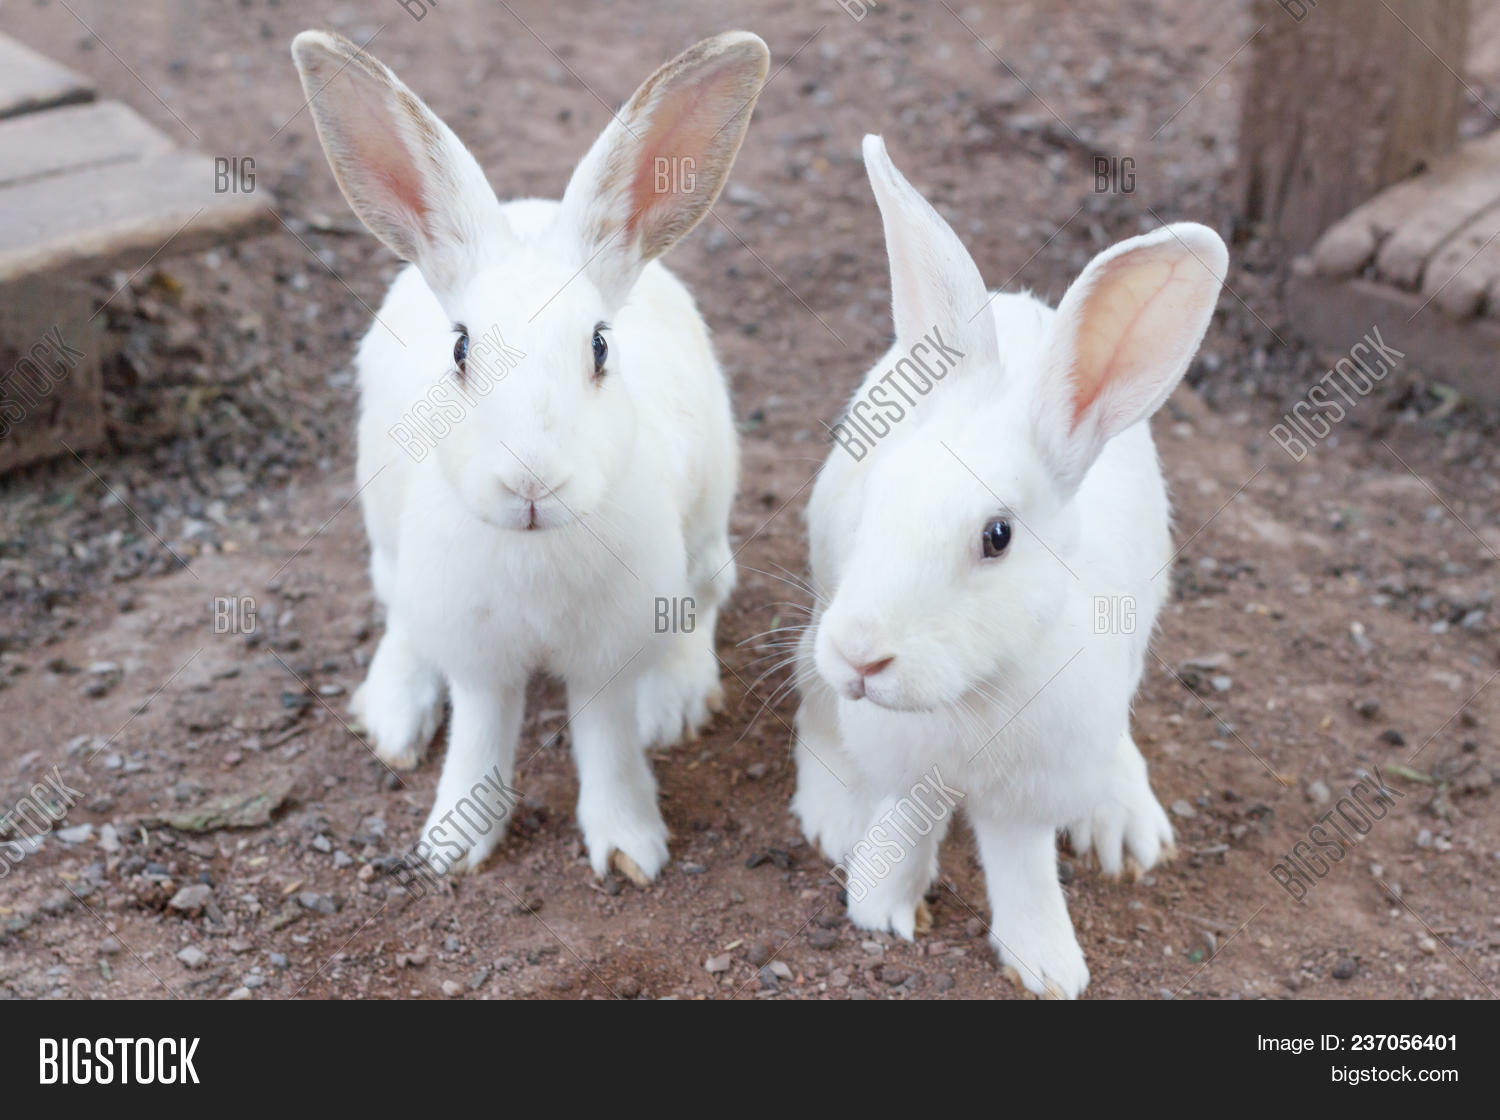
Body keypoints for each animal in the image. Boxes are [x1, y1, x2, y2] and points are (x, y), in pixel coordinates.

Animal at [289, 30, 770, 883]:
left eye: (601, 347)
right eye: (460, 350)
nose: (532, 482)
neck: (535, 550)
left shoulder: (612, 652)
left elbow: (607, 743)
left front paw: (630, 849)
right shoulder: (477, 655)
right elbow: (479, 737)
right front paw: (452, 846)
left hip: (707, 524)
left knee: (709, 597)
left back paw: (676, 703)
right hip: (388, 542)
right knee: (398, 616)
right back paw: (392, 715)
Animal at [789, 135, 1227, 998]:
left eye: (997, 536)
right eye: (881, 492)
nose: (861, 657)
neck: (972, 692)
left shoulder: (1030, 794)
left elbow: (1023, 867)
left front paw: (1048, 966)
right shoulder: (905, 767)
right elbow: (905, 823)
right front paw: (881, 906)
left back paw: (1127, 825)